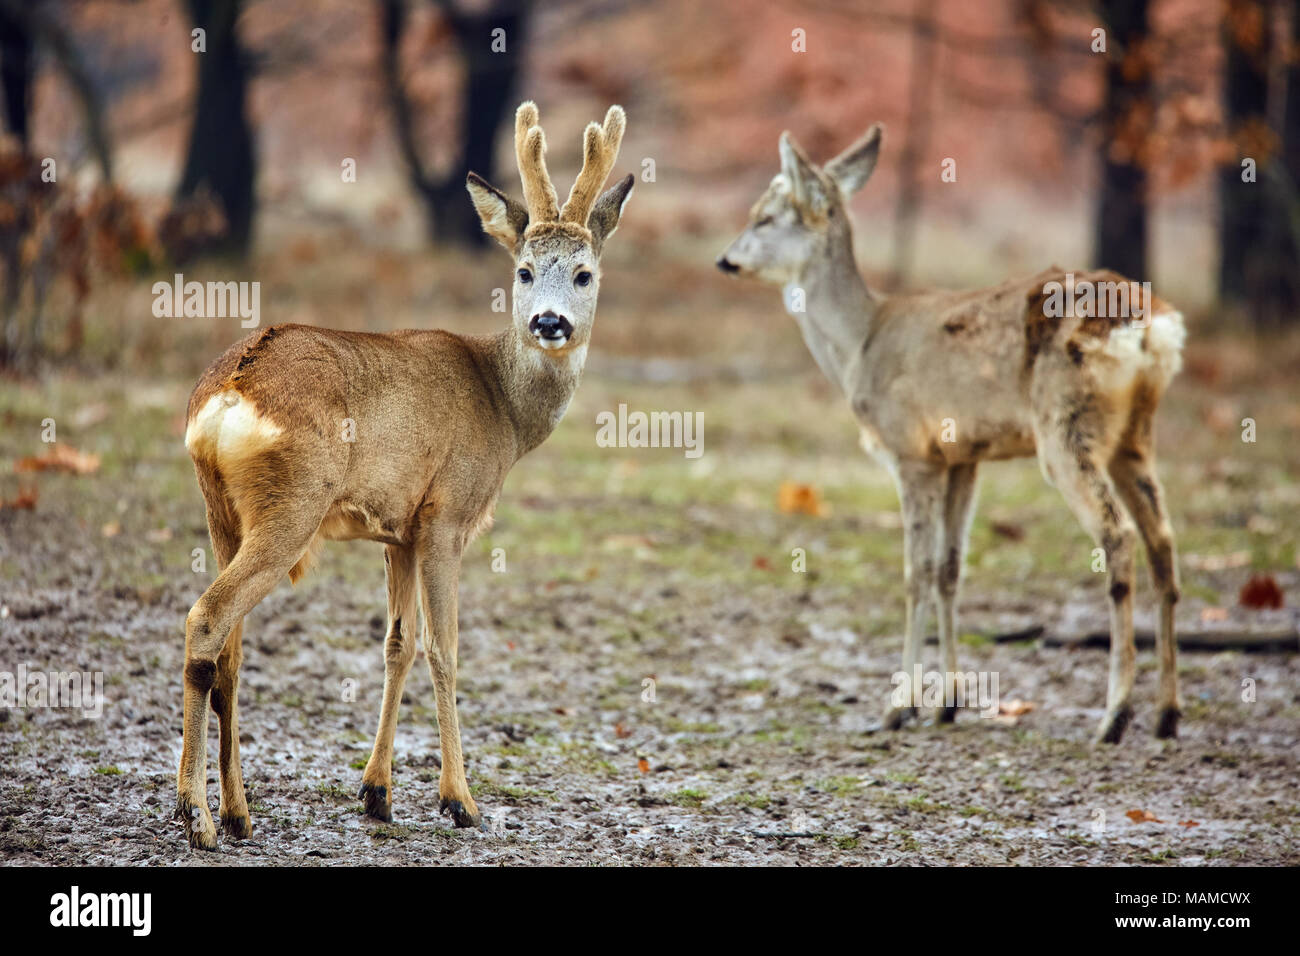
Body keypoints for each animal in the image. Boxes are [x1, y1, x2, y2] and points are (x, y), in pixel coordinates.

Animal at [176, 102, 634, 850]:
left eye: (585, 273)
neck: (503, 407)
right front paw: (460, 801)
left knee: (230, 655)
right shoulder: (447, 516)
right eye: (525, 270)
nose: (550, 322)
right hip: (290, 508)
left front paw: (377, 793)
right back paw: (196, 816)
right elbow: (445, 649)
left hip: (223, 513)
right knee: (208, 617)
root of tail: (229, 390)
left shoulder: (398, 531)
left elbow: (398, 644)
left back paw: (239, 815)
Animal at [717, 124, 1185, 745]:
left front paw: (897, 706)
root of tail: (1152, 324)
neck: (860, 343)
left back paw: (1114, 715)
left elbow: (915, 572)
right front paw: (948, 703)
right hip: (1134, 434)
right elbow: (949, 571)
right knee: (1162, 541)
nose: (725, 259)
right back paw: (1166, 714)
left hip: (1066, 428)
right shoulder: (964, 456)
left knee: (1120, 536)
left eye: (765, 217)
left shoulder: (910, 451)